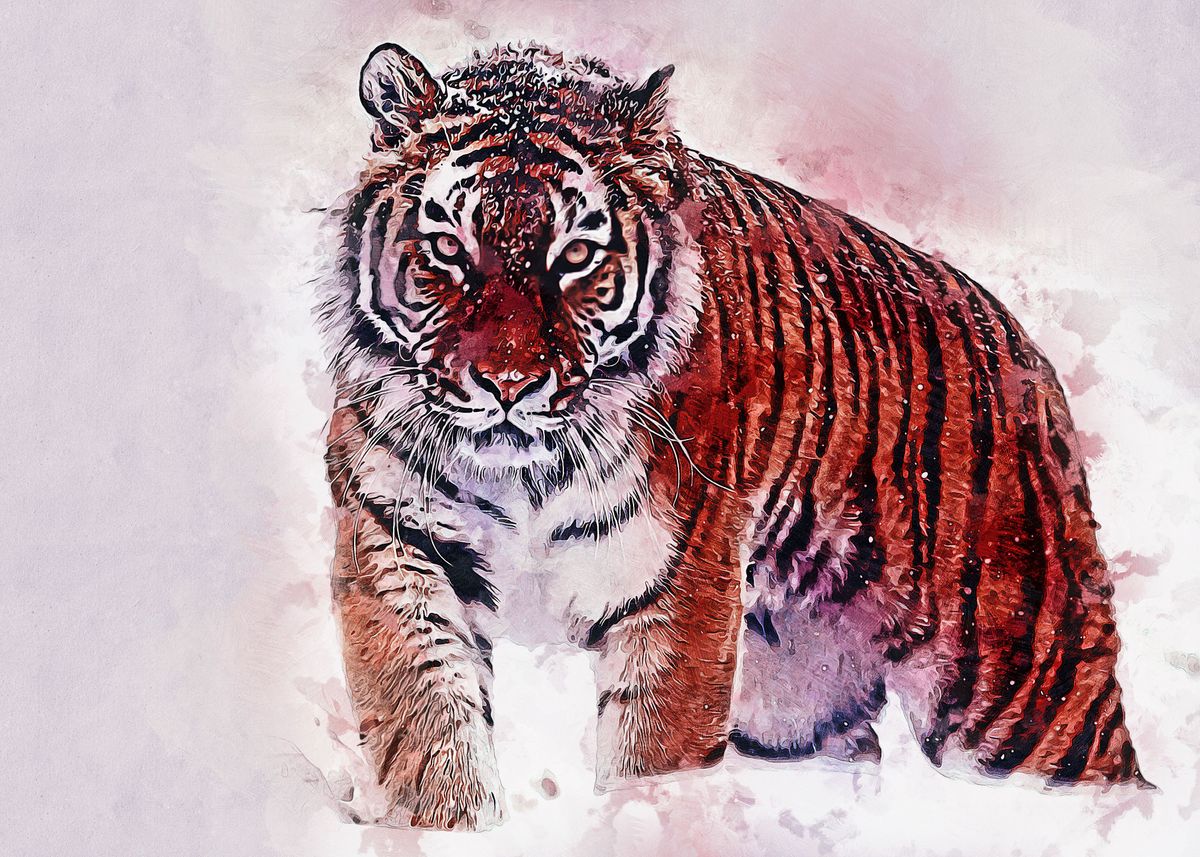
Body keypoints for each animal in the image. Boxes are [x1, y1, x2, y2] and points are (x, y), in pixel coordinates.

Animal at [317, 41, 1145, 829]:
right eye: (449, 249)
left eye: (575, 255)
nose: (508, 385)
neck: (523, 475)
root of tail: (1023, 346)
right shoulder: (398, 544)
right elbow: (428, 732)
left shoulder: (675, 586)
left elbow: (653, 758)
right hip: (798, 706)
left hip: (1022, 691)